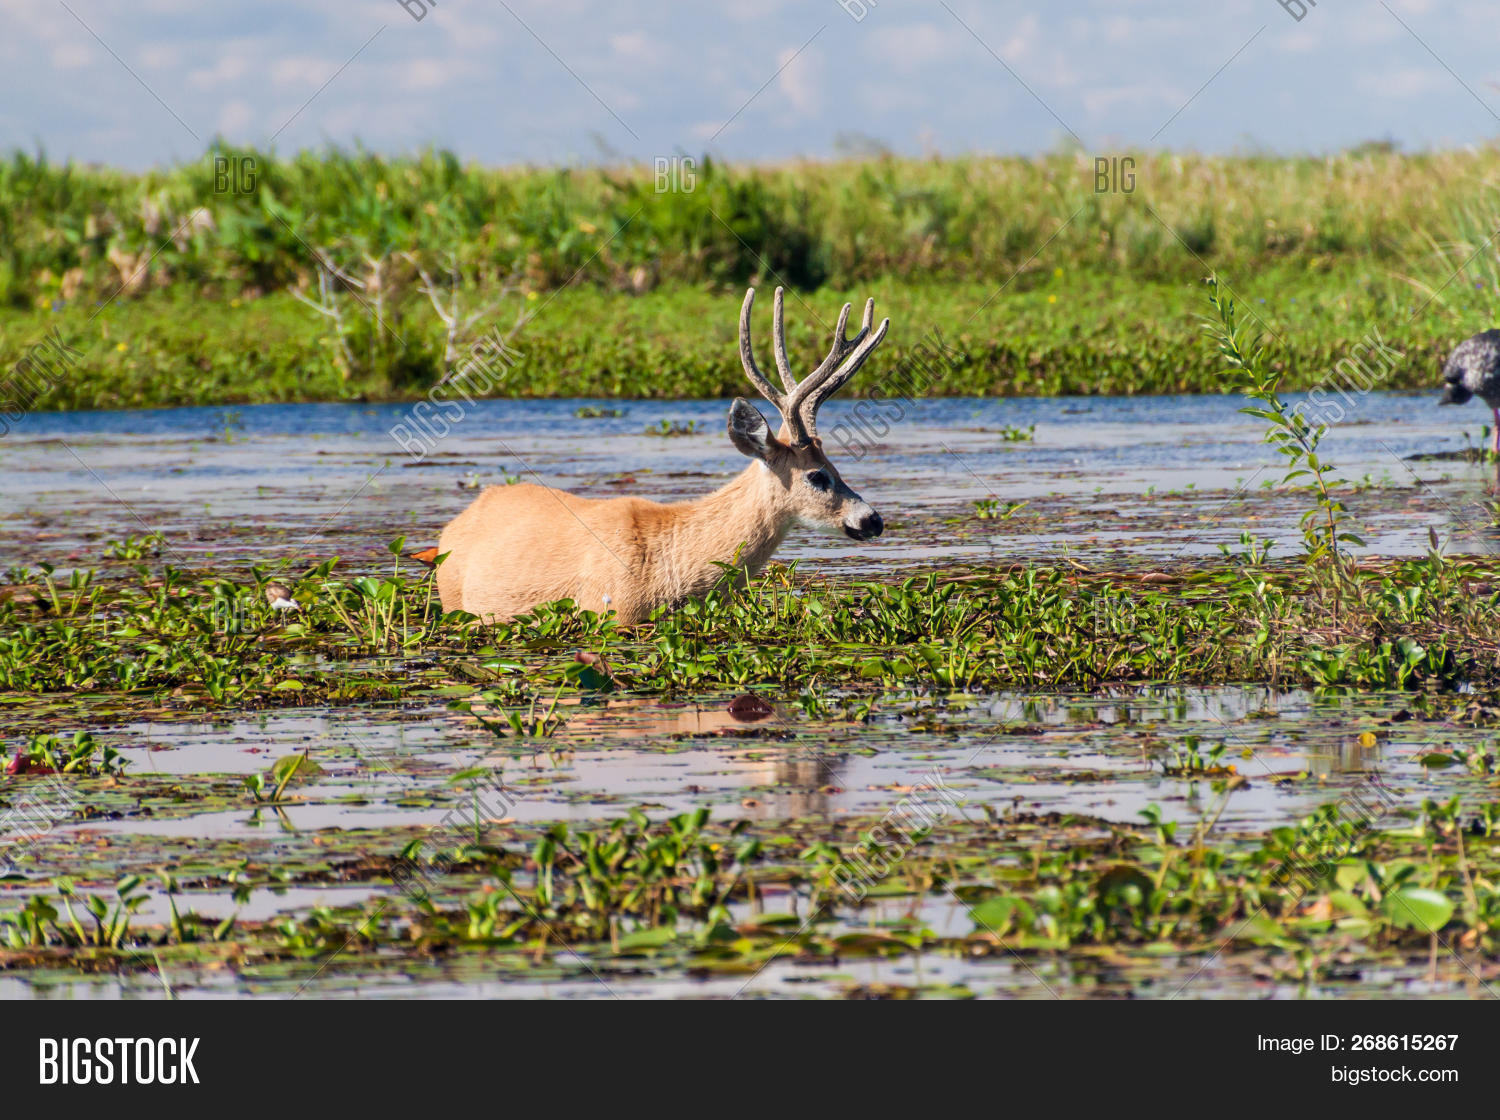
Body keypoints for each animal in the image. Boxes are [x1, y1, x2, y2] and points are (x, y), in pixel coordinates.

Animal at [434, 286, 890, 624]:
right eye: (817, 475)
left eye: (836, 465)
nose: (873, 519)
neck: (670, 561)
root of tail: (454, 525)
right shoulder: (610, 612)